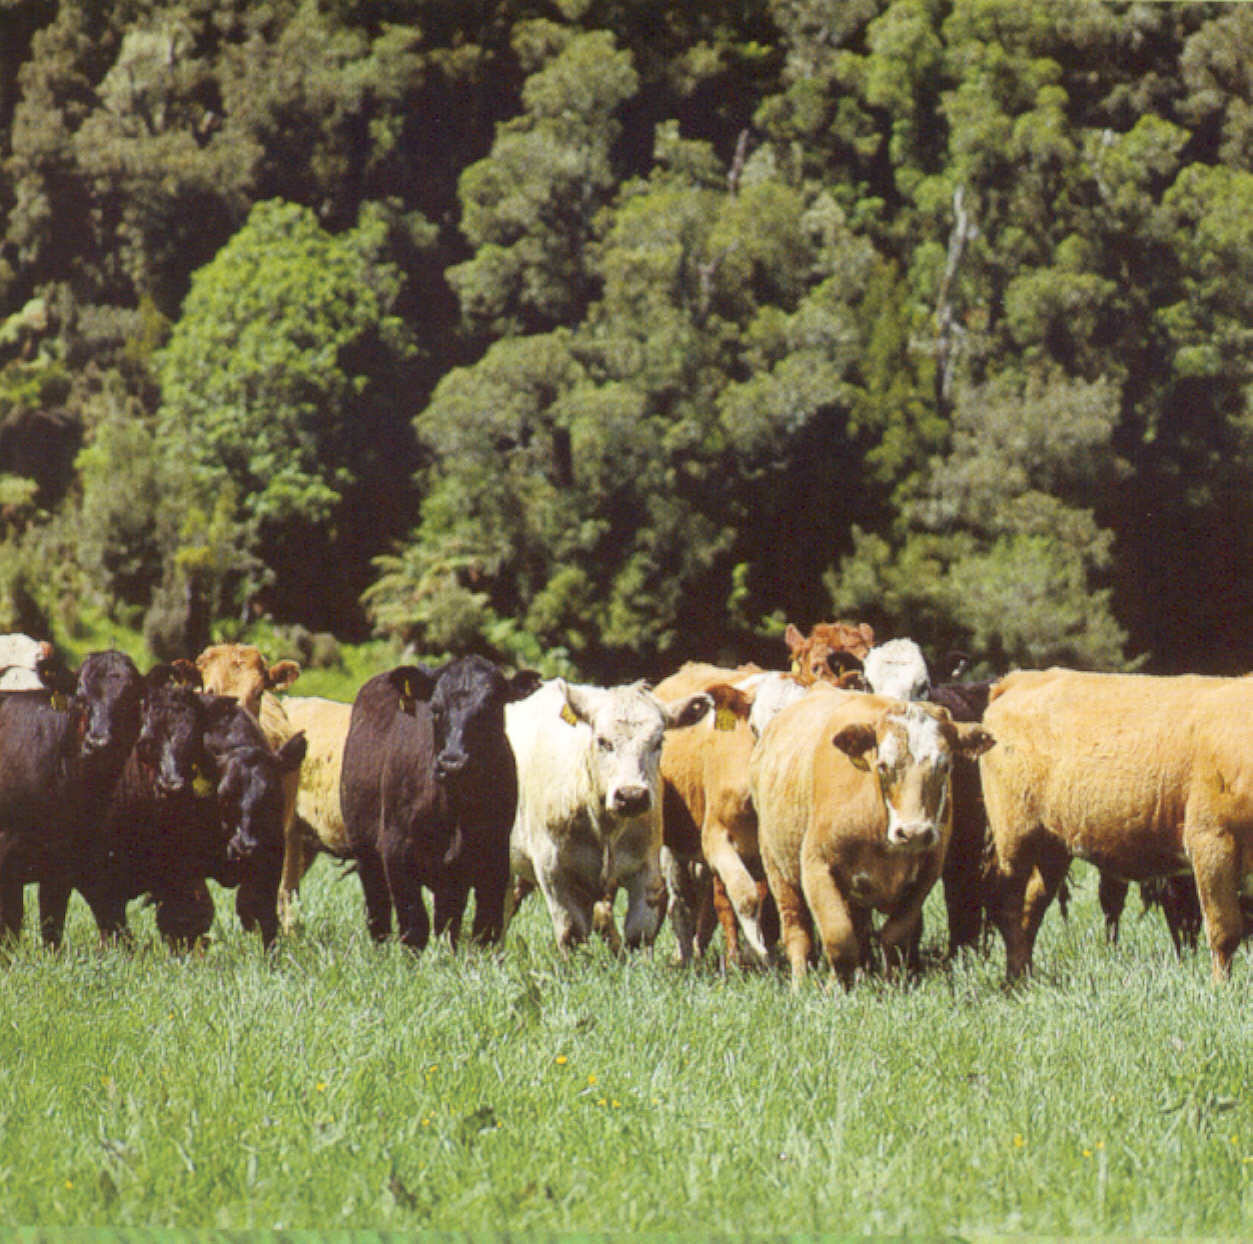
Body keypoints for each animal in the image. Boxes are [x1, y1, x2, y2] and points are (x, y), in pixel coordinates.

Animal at [339, 657, 542, 950]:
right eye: (435, 709)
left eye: (490, 708)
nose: (452, 763)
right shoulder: (396, 850)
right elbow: (414, 926)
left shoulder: (495, 858)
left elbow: (485, 928)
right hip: (365, 851)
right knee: (379, 912)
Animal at [504, 679, 713, 952]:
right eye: (602, 741)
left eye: (658, 742)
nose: (632, 795)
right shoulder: (553, 871)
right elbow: (571, 932)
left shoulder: (646, 868)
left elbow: (638, 932)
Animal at [751, 685, 994, 987]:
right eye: (883, 766)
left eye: (945, 766)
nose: (914, 833)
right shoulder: (817, 867)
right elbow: (839, 938)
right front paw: (835, 987)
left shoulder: (925, 875)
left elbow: (894, 934)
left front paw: (892, 982)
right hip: (777, 869)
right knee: (798, 931)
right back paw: (801, 982)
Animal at [979, 668, 1253, 982]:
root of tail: (1024, 677)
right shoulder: (1211, 840)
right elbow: (1224, 930)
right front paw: (1221, 987)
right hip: (1014, 841)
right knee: (1008, 907)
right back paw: (1013, 981)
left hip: (1052, 847)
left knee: (1029, 908)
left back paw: (1024, 977)